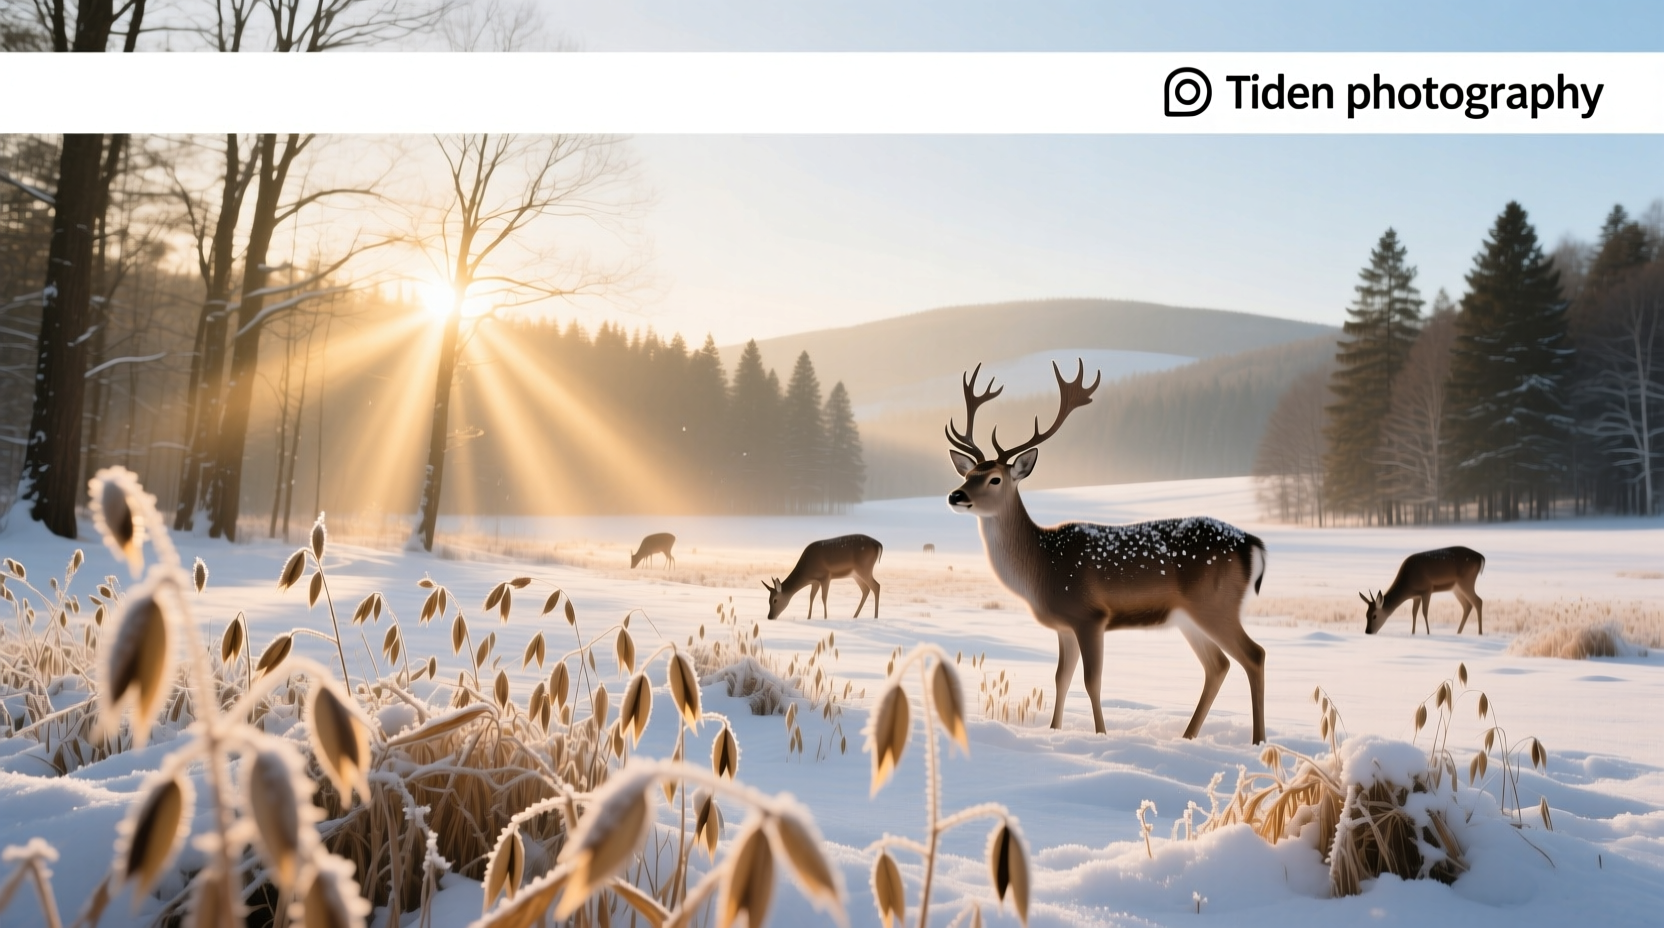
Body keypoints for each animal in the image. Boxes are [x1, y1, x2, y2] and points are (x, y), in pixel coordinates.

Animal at [946, 360, 1270, 743]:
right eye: (968, 474)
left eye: (995, 478)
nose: (956, 495)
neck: (1042, 566)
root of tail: (1252, 543)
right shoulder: (1064, 626)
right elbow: (1061, 678)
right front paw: (1054, 731)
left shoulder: (1090, 615)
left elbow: (1091, 681)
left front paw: (1100, 734)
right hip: (1188, 616)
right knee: (1218, 665)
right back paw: (1187, 736)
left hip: (1216, 604)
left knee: (1254, 655)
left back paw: (1259, 741)